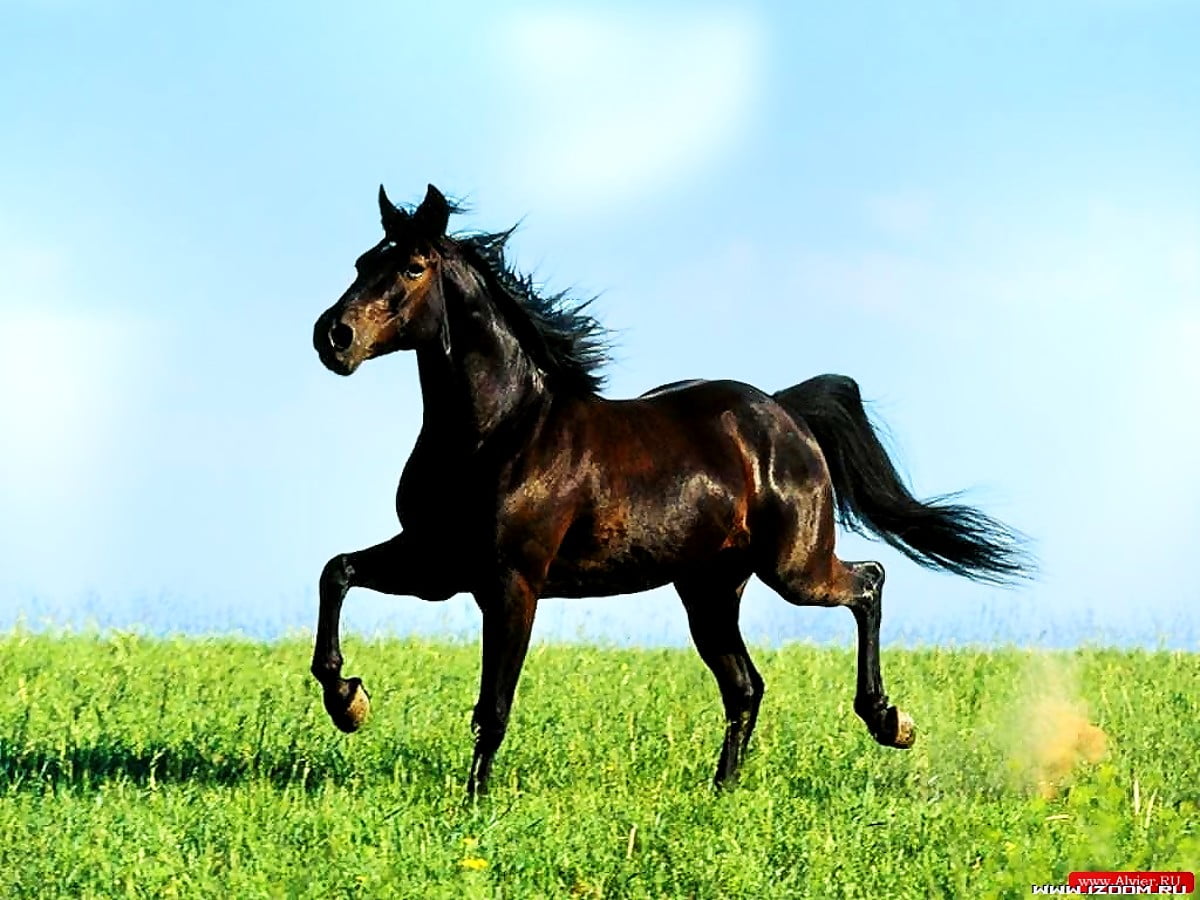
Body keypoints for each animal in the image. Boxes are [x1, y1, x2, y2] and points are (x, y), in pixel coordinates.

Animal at [310, 184, 1030, 795]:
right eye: (363, 260)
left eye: (412, 267)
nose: (333, 337)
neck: (501, 432)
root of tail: (784, 412)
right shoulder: (438, 562)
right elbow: (337, 571)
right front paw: (349, 701)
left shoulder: (510, 580)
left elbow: (494, 704)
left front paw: (474, 803)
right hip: (710, 589)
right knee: (746, 687)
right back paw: (724, 791)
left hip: (793, 569)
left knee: (869, 582)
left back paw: (889, 721)